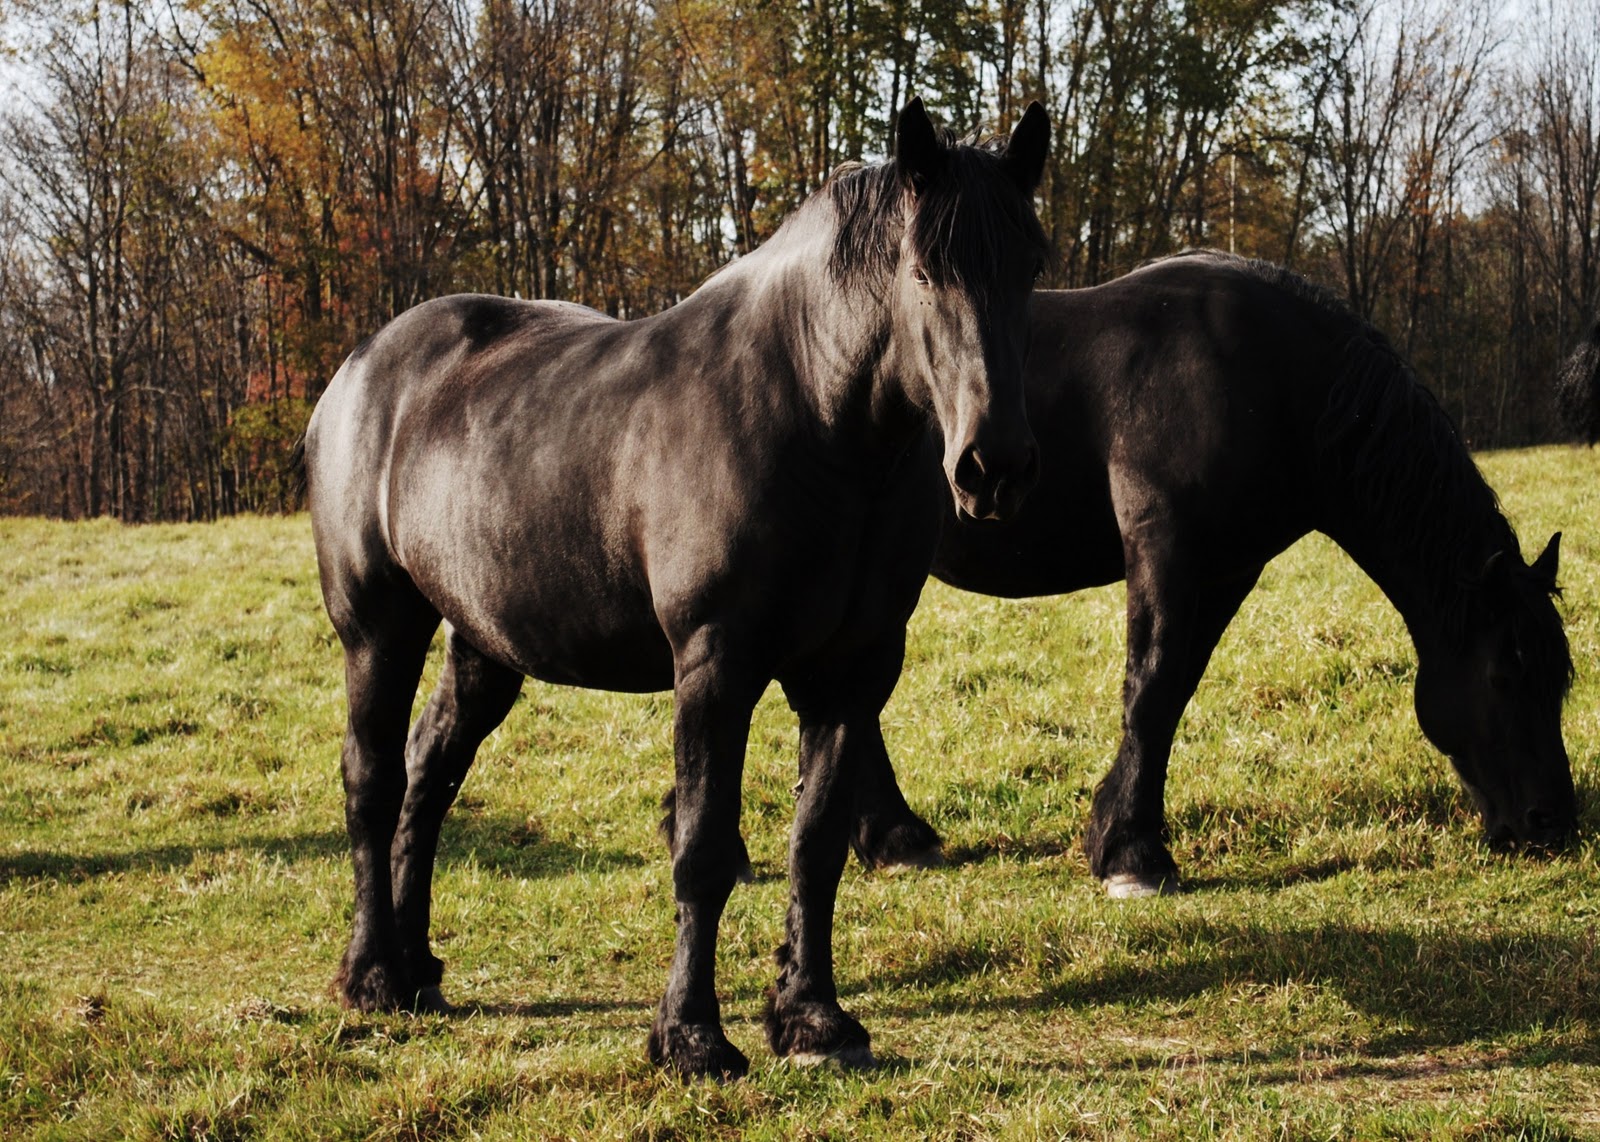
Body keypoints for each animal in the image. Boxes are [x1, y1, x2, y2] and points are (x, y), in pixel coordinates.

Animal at [302, 98, 1051, 1079]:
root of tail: (357, 371)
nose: (993, 470)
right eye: (924, 272)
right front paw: (692, 1036)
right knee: (373, 780)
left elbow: (816, 847)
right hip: (380, 629)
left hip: (483, 641)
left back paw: (418, 962)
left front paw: (813, 1018)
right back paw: (374, 975)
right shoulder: (715, 665)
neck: (816, 421)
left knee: (430, 774)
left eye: (1032, 268)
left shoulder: (854, 672)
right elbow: (703, 848)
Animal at [836, 251, 1576, 896]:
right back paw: (893, 839)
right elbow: (1152, 686)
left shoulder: (1227, 570)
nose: (1554, 822)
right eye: (1505, 674)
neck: (1271, 378)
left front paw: (1118, 832)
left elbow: (1175, 691)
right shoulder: (1166, 549)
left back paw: (891, 838)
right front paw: (1132, 855)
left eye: (1560, 678)